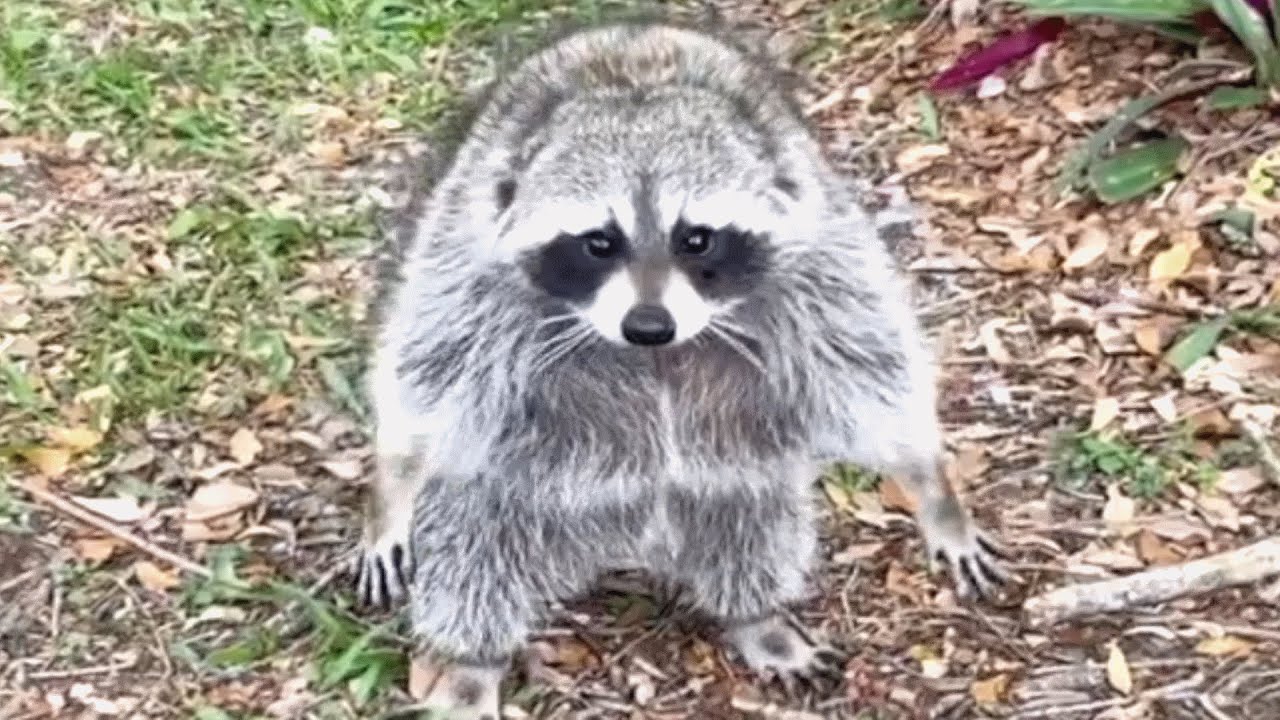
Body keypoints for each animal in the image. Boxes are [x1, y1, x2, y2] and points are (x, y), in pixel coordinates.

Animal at [357, 15, 1007, 718]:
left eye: (696, 239)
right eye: (598, 242)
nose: (649, 325)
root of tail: (628, 538)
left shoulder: (819, 250)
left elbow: (868, 364)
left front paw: (933, 489)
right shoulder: (469, 261)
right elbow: (429, 376)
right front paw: (390, 491)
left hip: (734, 471)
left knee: (751, 527)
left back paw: (757, 616)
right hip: (519, 487)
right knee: (475, 553)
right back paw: (474, 664)